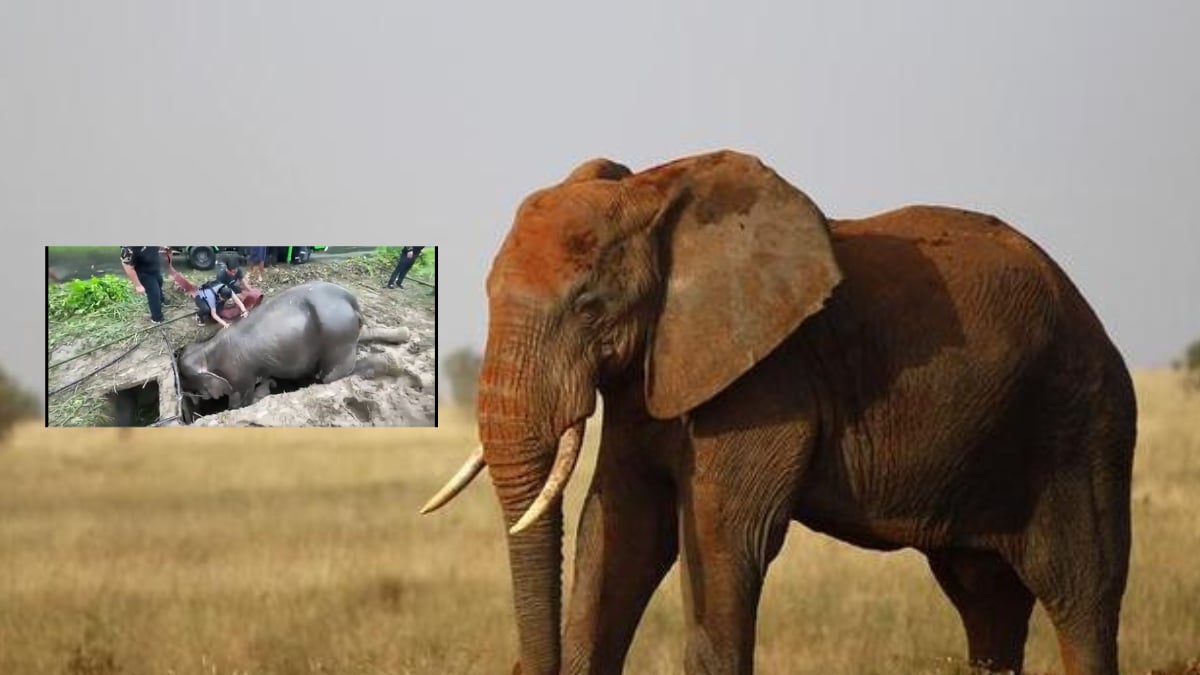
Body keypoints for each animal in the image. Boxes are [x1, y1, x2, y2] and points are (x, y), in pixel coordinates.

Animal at [177, 280, 364, 409]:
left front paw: (238, 405)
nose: (191, 399)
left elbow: (240, 400)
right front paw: (268, 385)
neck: (206, 350)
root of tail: (353, 302)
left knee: (331, 375)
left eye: (190, 383)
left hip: (338, 338)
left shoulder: (240, 374)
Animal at [422, 150, 1137, 675]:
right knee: (987, 602)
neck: (657, 195)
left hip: (1083, 423)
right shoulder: (653, 371)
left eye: (589, 307)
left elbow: (725, 533)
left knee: (1081, 594)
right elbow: (621, 527)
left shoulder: (767, 377)